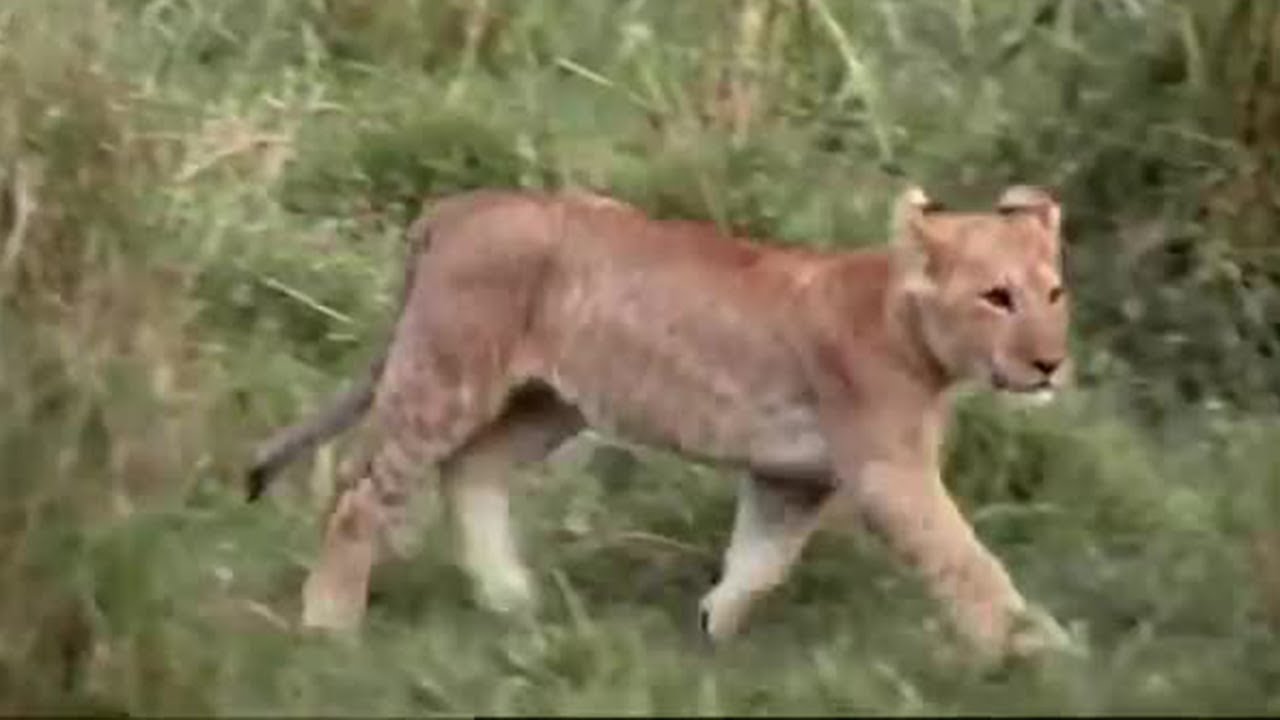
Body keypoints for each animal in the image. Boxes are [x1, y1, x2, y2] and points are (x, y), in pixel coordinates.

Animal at [246, 184, 1075, 662]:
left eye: (1054, 293)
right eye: (997, 297)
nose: (1050, 364)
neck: (913, 331)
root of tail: (458, 208)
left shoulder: (792, 476)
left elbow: (762, 560)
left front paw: (713, 627)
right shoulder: (888, 474)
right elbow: (967, 560)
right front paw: (1036, 649)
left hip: (550, 402)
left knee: (471, 470)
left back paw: (511, 600)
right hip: (447, 380)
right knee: (362, 495)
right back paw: (329, 623)